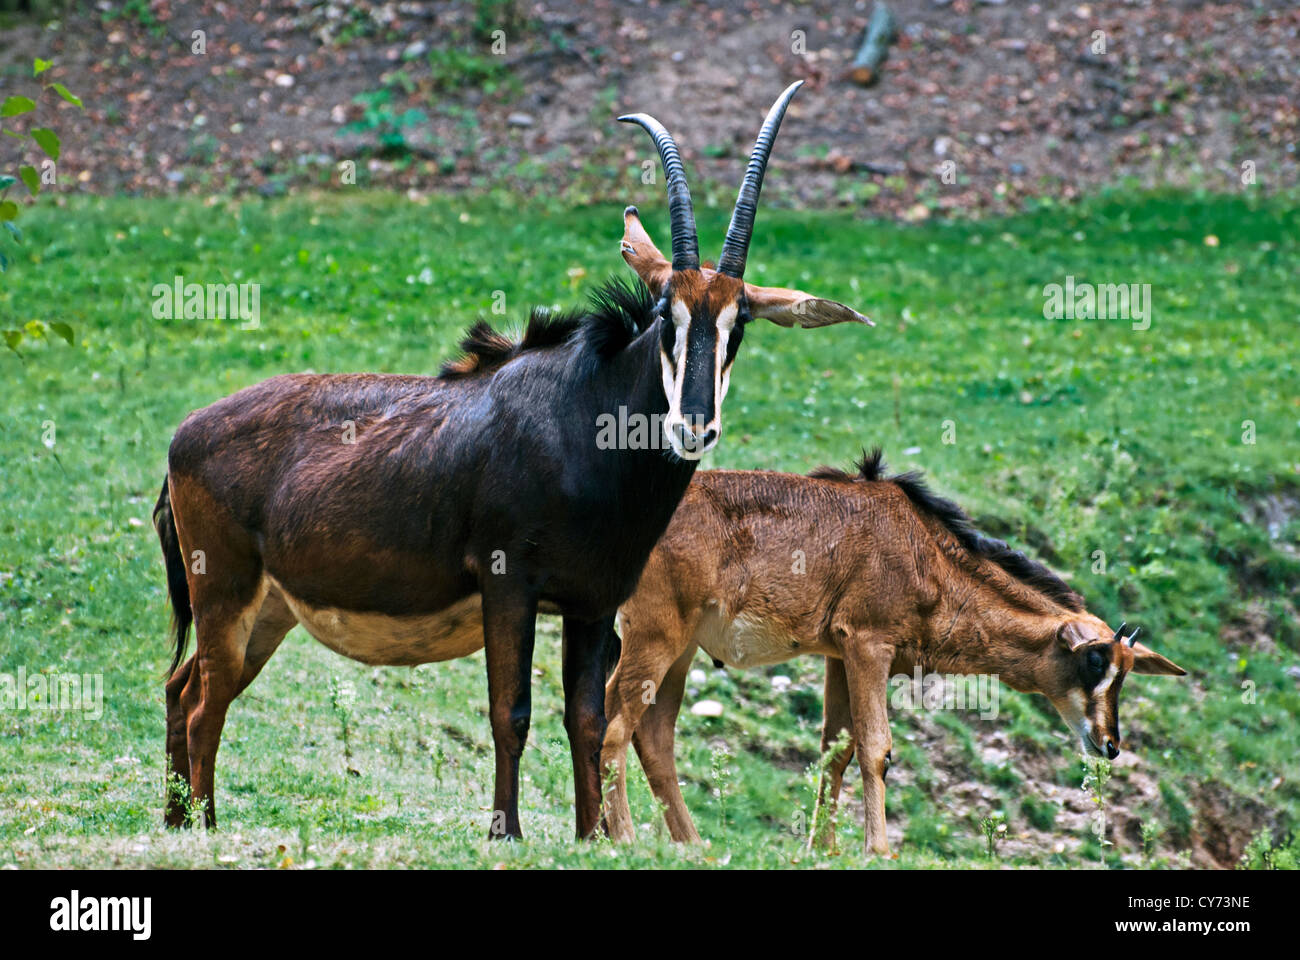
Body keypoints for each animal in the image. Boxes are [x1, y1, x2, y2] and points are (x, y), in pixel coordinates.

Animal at [151, 82, 870, 839]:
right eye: (664, 315)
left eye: (739, 327)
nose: (693, 426)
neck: (585, 424)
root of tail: (183, 438)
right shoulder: (509, 586)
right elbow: (511, 713)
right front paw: (507, 830)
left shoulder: (593, 603)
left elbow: (585, 719)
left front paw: (589, 837)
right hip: (226, 590)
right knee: (205, 699)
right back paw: (204, 825)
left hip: (268, 608)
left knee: (182, 687)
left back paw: (176, 822)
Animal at [601, 450, 1187, 855]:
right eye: (1095, 661)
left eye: (1128, 672)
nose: (1110, 743)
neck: (927, 553)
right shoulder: (868, 644)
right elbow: (875, 748)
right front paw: (877, 849)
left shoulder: (838, 655)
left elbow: (835, 750)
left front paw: (825, 849)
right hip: (656, 633)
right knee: (616, 715)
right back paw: (621, 837)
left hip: (682, 649)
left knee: (654, 733)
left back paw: (690, 844)